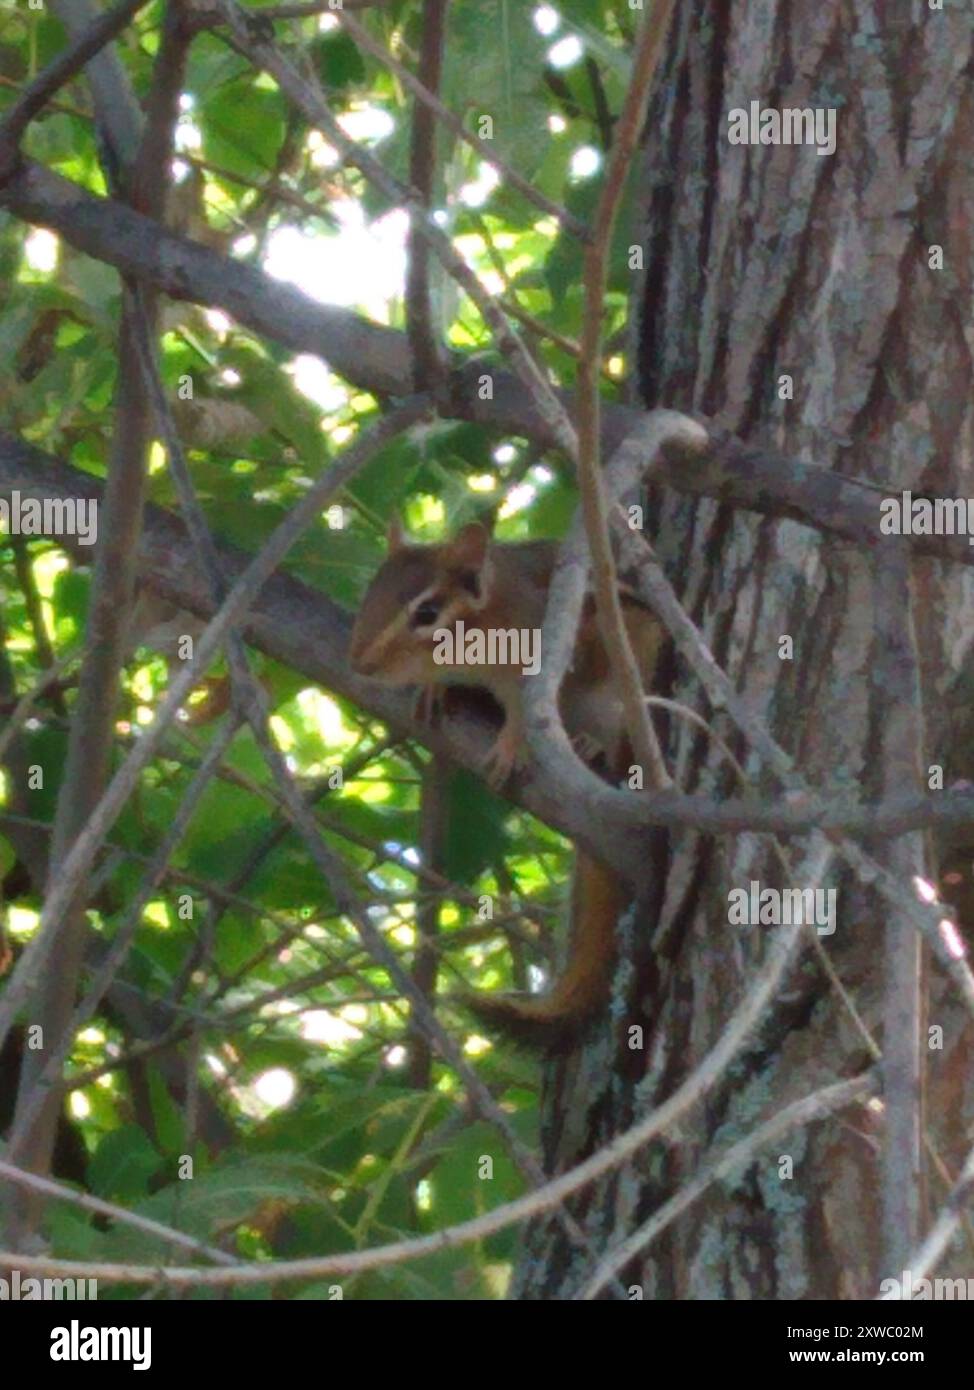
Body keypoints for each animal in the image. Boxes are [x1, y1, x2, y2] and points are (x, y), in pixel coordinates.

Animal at [349, 518, 662, 1048]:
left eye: (427, 612)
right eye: (370, 588)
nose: (358, 665)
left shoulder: (542, 658)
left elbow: (525, 712)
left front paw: (512, 747)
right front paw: (433, 690)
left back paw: (591, 745)